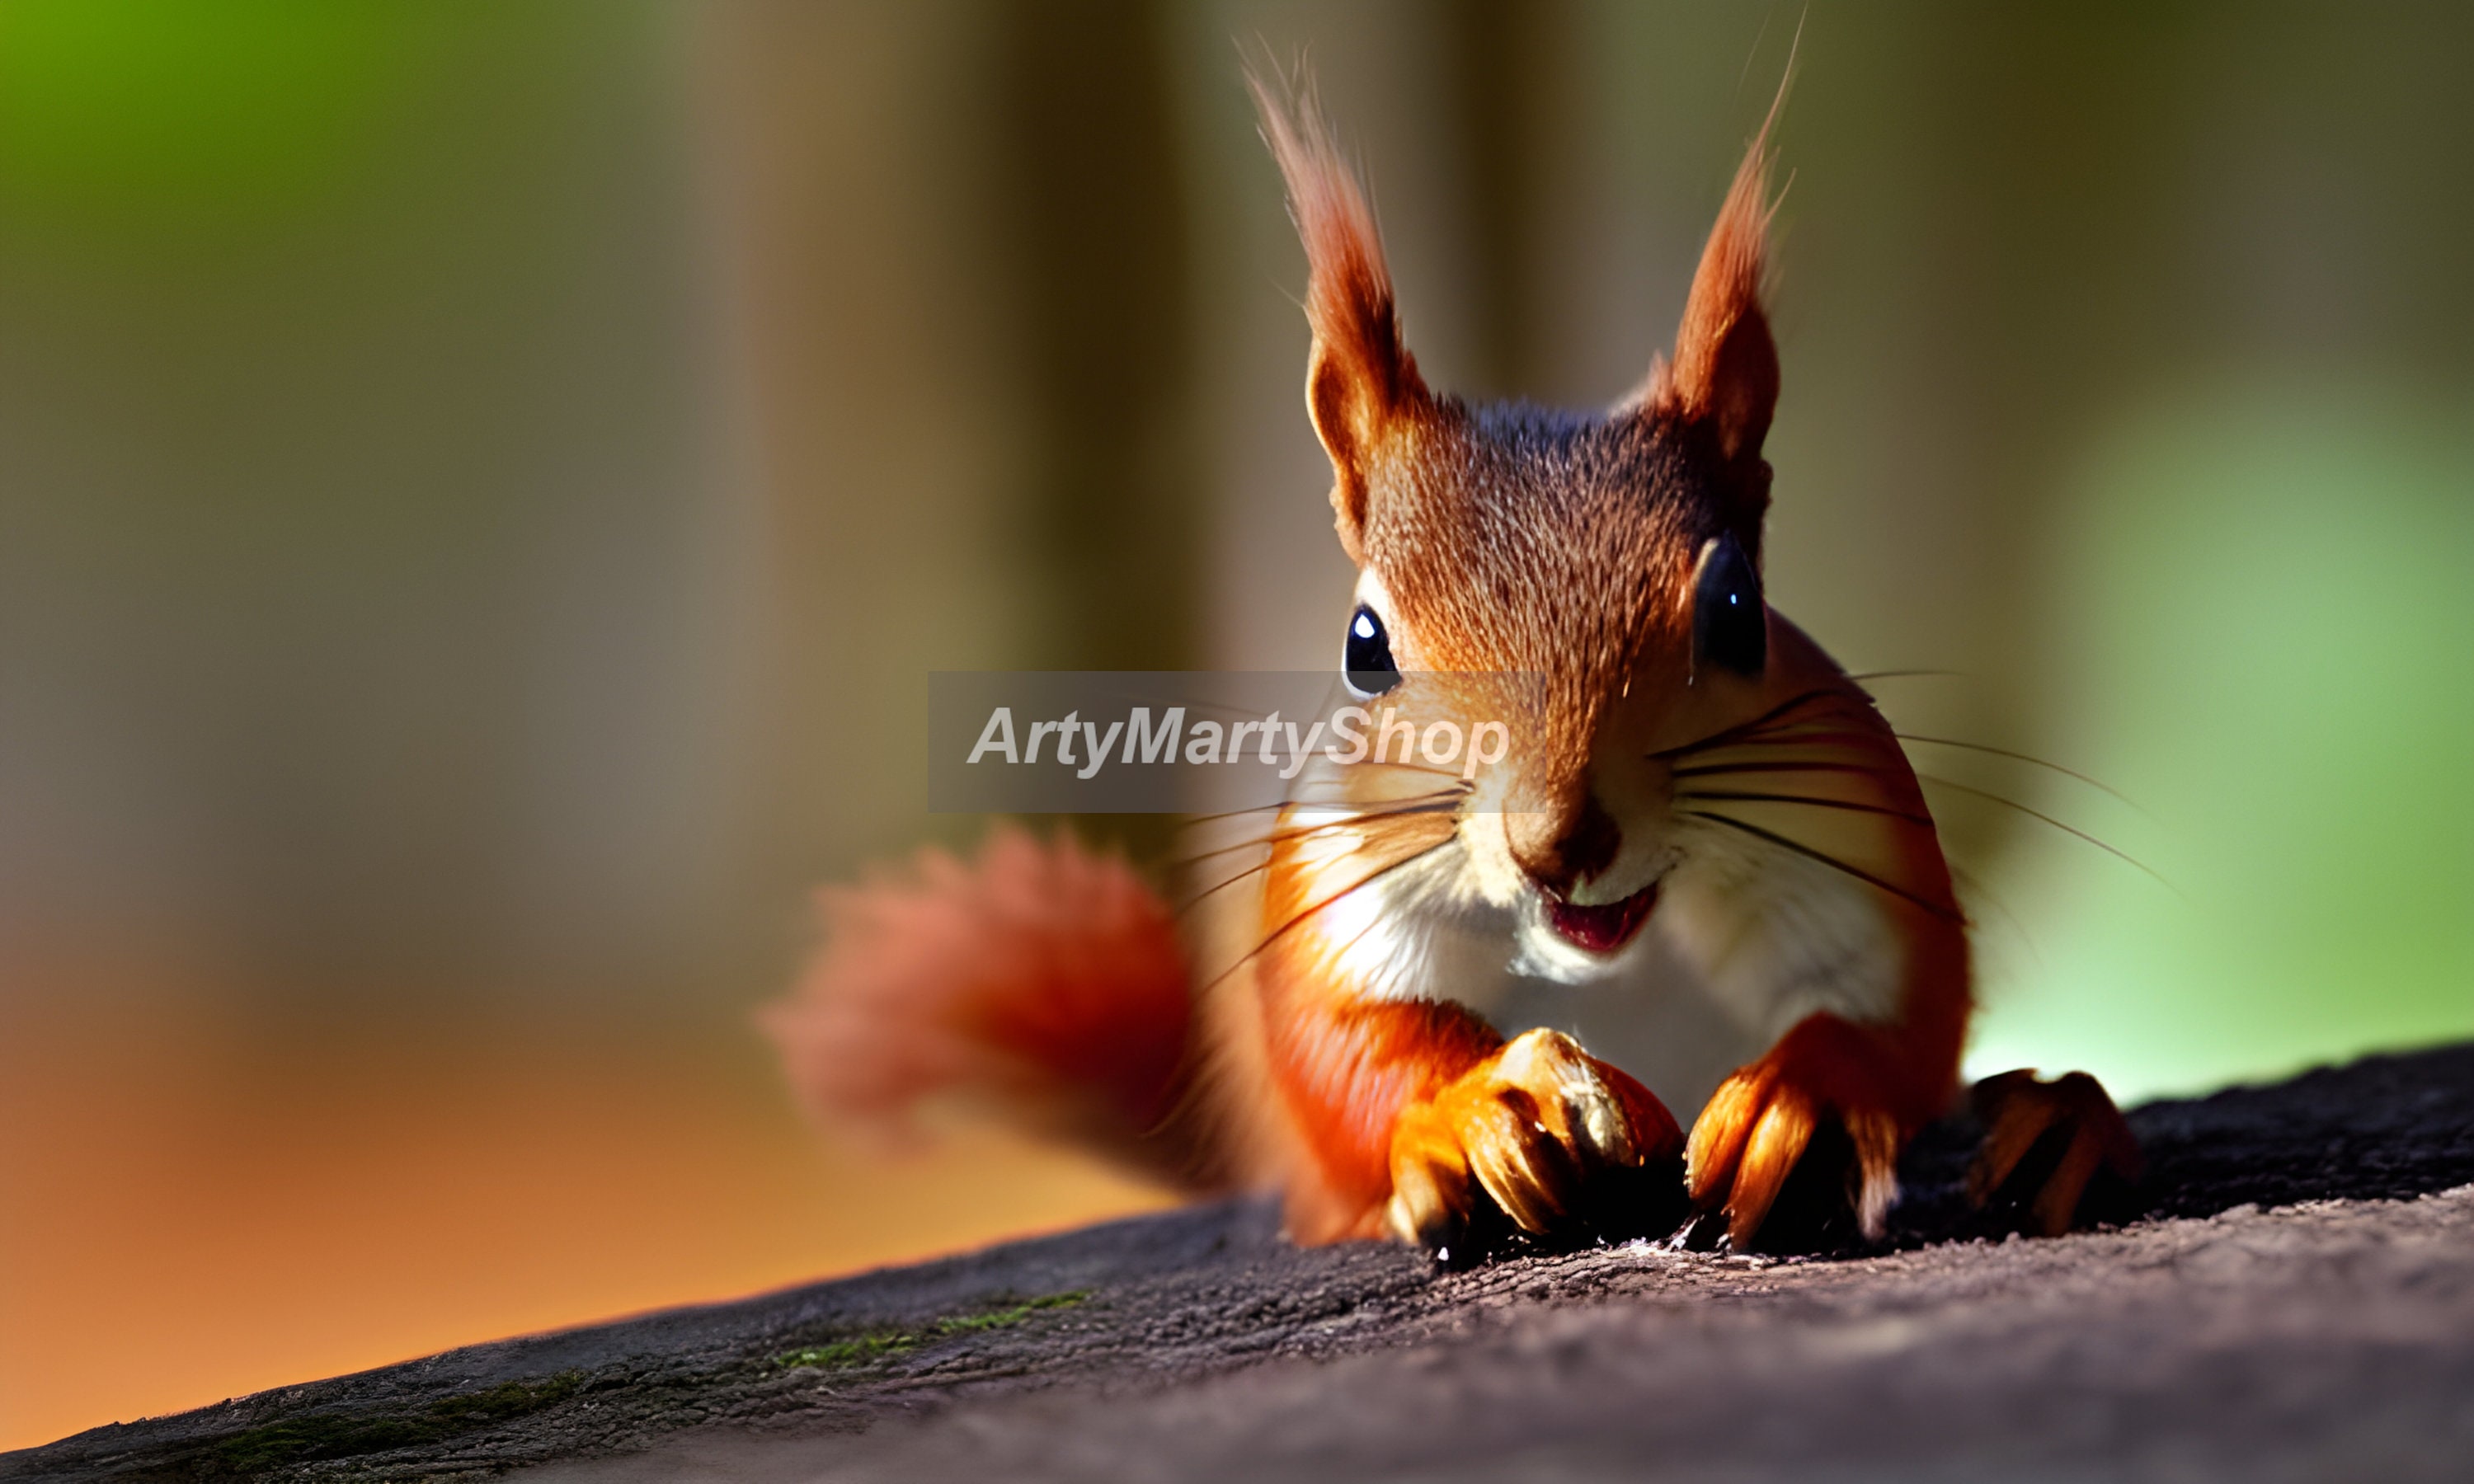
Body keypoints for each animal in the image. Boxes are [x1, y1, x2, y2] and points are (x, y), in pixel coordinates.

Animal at [764, 75, 2142, 1256]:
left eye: (1741, 612)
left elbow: (1899, 1024)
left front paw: (1797, 1095)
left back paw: (2051, 1118)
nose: (1558, 840)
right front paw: (1482, 1105)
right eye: (1364, 648)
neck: (1606, 949)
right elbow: (1339, 1044)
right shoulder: (1336, 885)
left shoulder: (1851, 841)